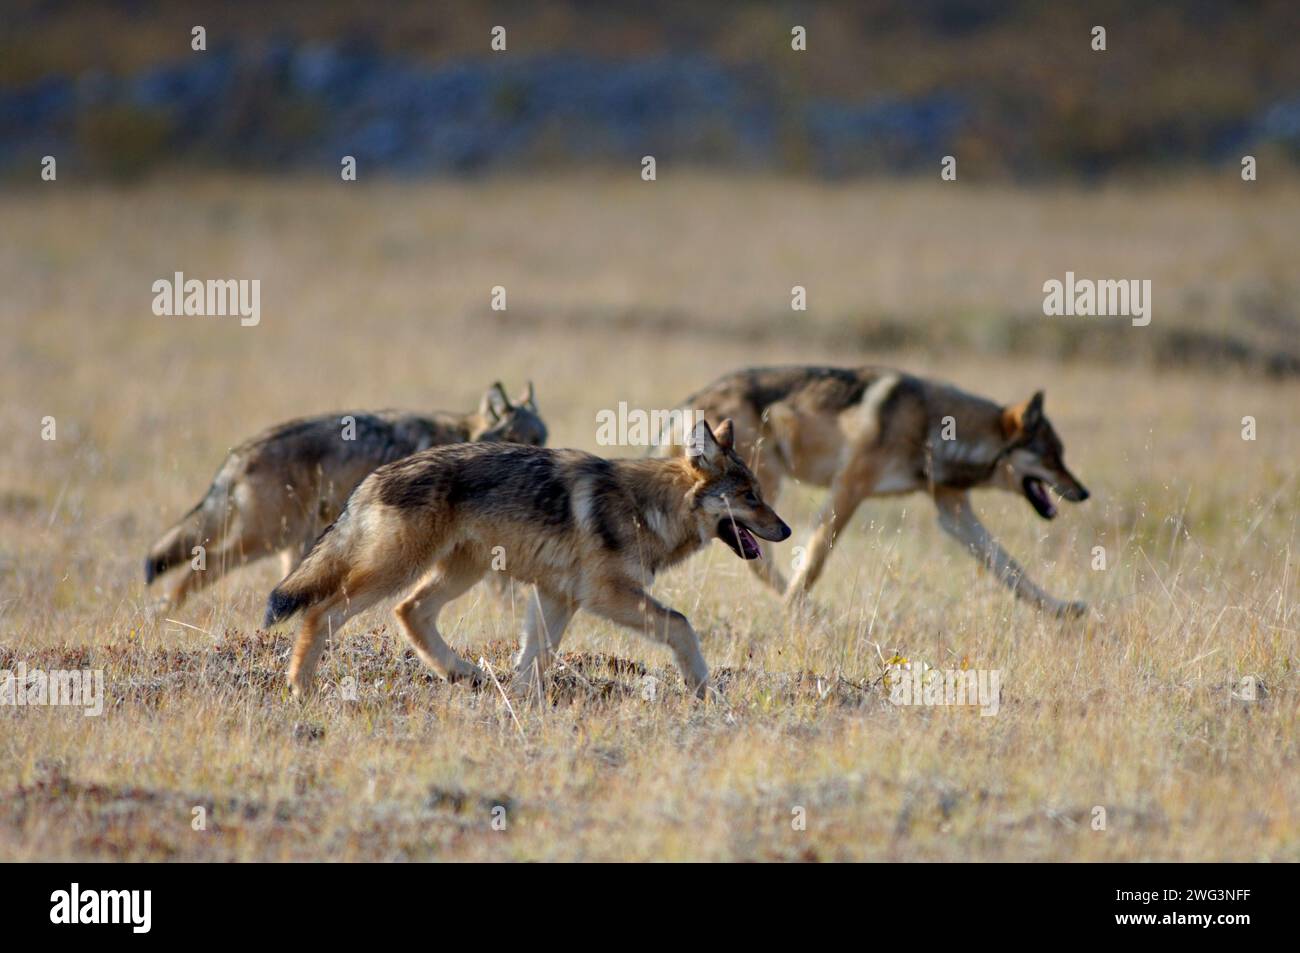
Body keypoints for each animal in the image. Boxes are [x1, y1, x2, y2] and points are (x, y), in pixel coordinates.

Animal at [145, 382, 546, 610]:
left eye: (542, 438)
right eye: (519, 439)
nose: (535, 470)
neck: (464, 434)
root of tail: (239, 453)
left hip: (295, 543)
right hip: (265, 540)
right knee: (202, 566)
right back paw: (166, 613)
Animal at [263, 418, 790, 699]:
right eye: (749, 496)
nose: (785, 530)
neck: (650, 507)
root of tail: (370, 480)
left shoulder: (557, 597)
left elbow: (535, 660)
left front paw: (519, 704)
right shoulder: (604, 595)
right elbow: (682, 625)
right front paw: (704, 690)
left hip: (460, 572)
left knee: (409, 612)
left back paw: (462, 673)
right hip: (396, 571)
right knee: (321, 612)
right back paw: (300, 687)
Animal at [666, 366, 1090, 617]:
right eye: (1053, 457)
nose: (1084, 492)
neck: (935, 428)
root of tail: (688, 401)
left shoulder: (953, 511)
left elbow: (1010, 568)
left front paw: (1060, 608)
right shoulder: (849, 487)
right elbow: (815, 559)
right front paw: (793, 609)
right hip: (763, 486)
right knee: (759, 561)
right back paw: (807, 609)